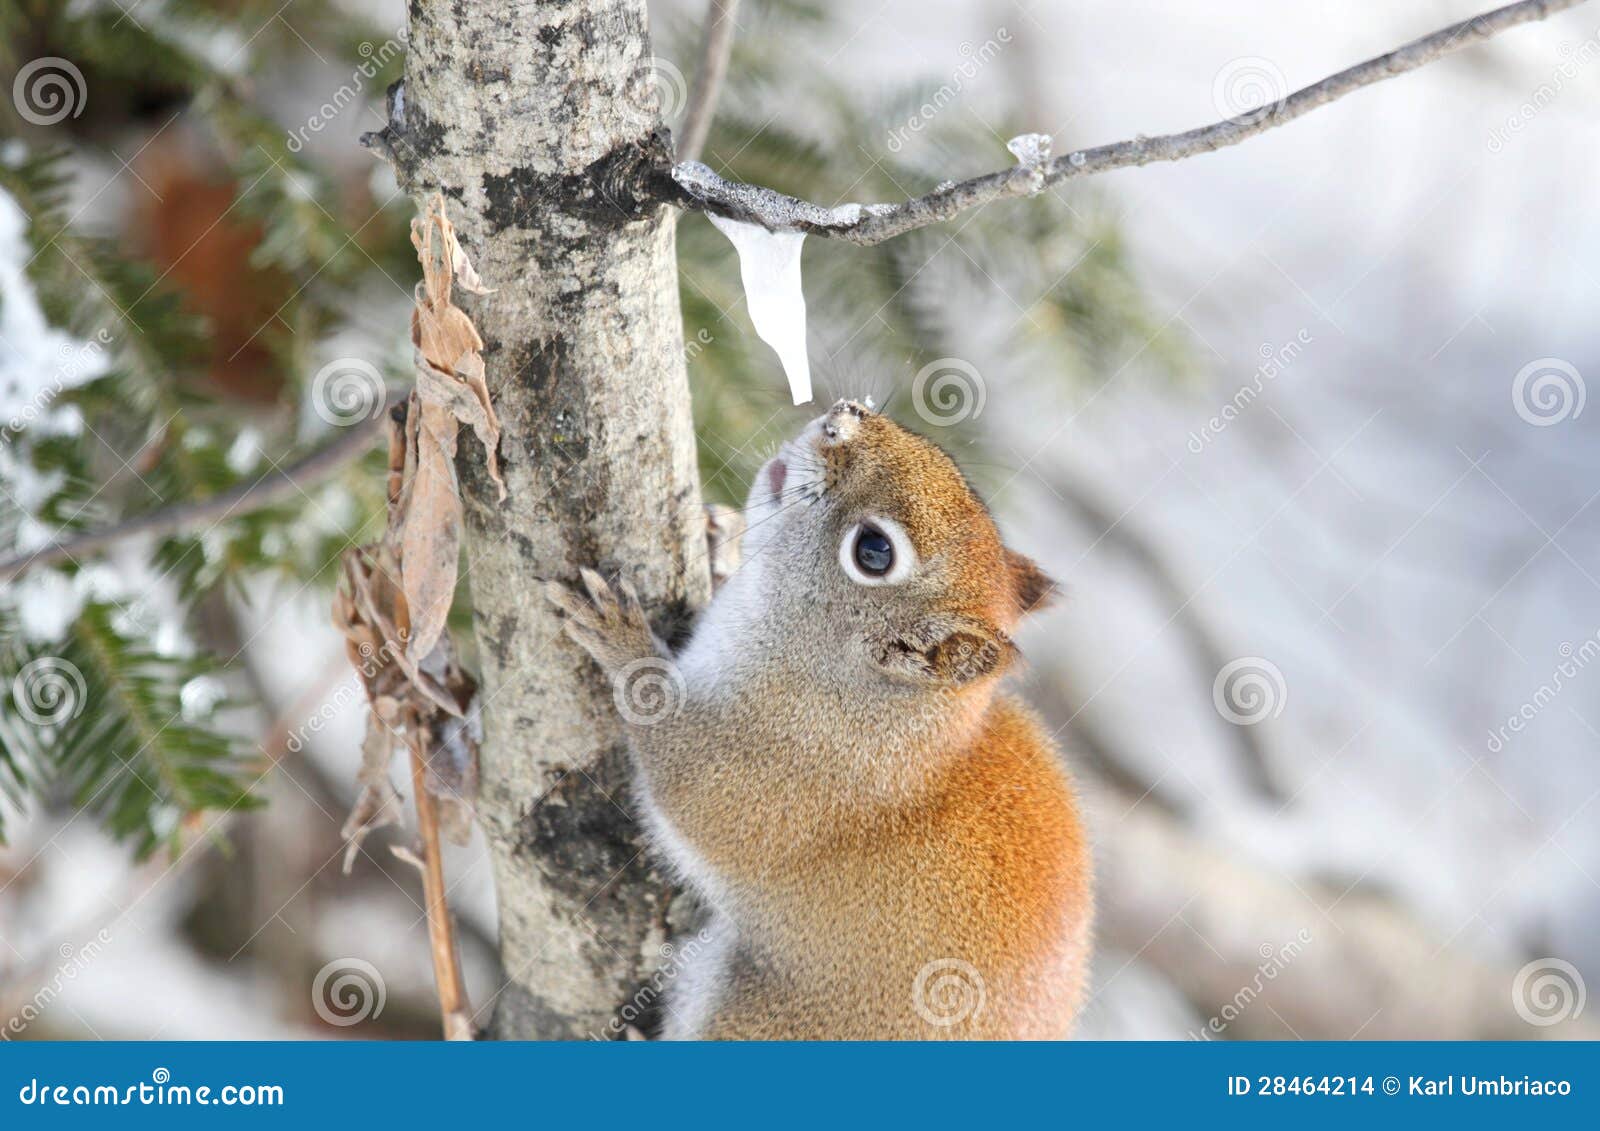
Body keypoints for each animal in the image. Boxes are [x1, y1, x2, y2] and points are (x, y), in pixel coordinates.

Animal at [545, 398, 1093, 1039]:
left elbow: (673, 763)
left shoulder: (762, 783)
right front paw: (720, 543)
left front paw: (622, 638)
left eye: (874, 551)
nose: (842, 417)